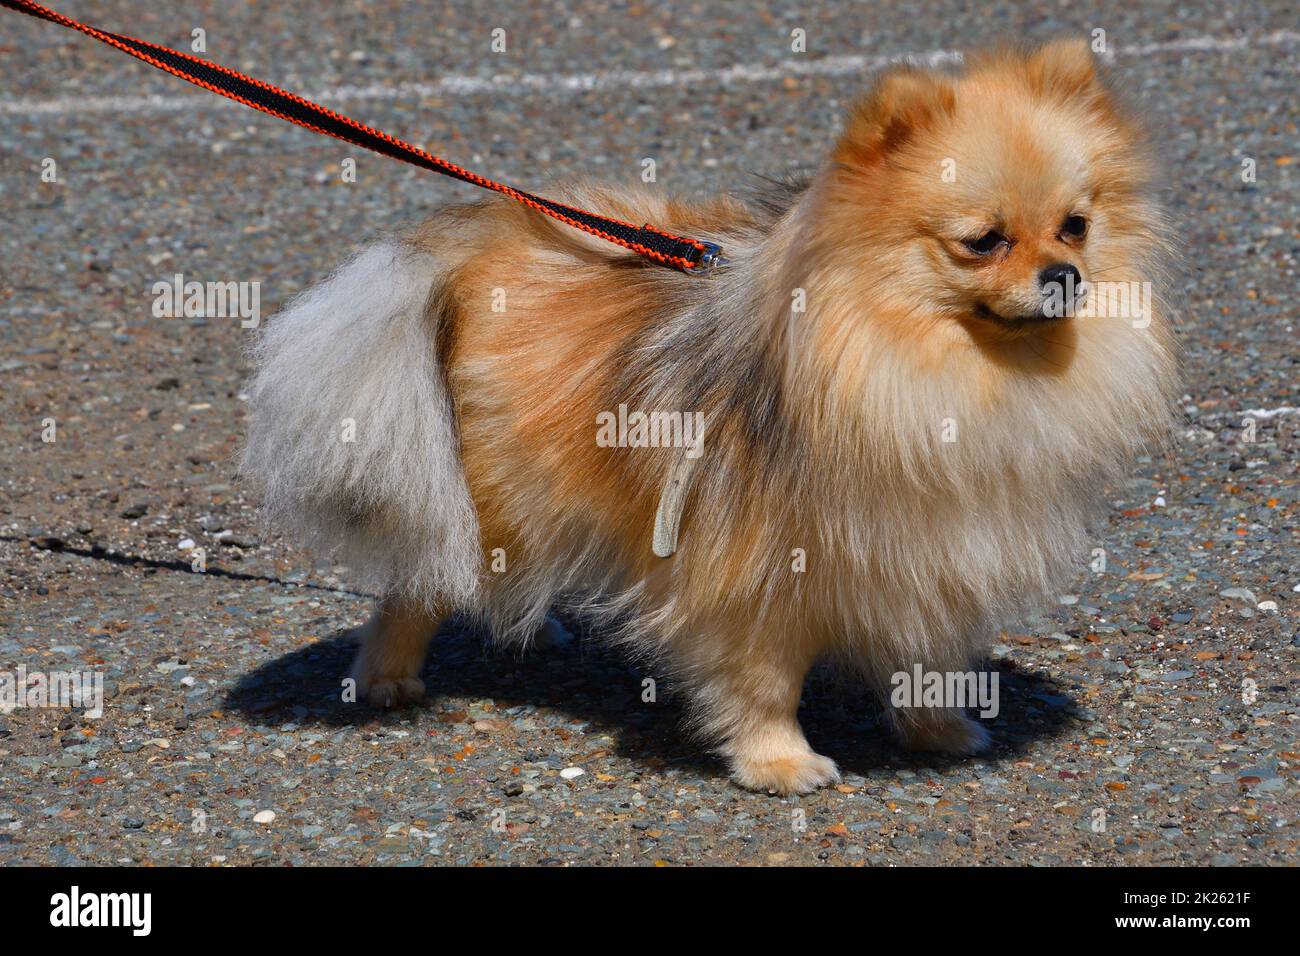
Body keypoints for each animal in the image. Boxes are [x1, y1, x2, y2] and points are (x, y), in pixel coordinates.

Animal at [241, 41, 1180, 796]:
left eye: (1076, 226)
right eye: (984, 241)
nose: (1064, 275)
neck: (916, 363)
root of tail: (473, 246)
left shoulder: (924, 544)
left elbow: (925, 652)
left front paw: (936, 729)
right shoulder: (750, 568)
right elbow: (763, 679)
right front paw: (779, 762)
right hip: (505, 488)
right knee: (425, 573)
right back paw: (390, 673)